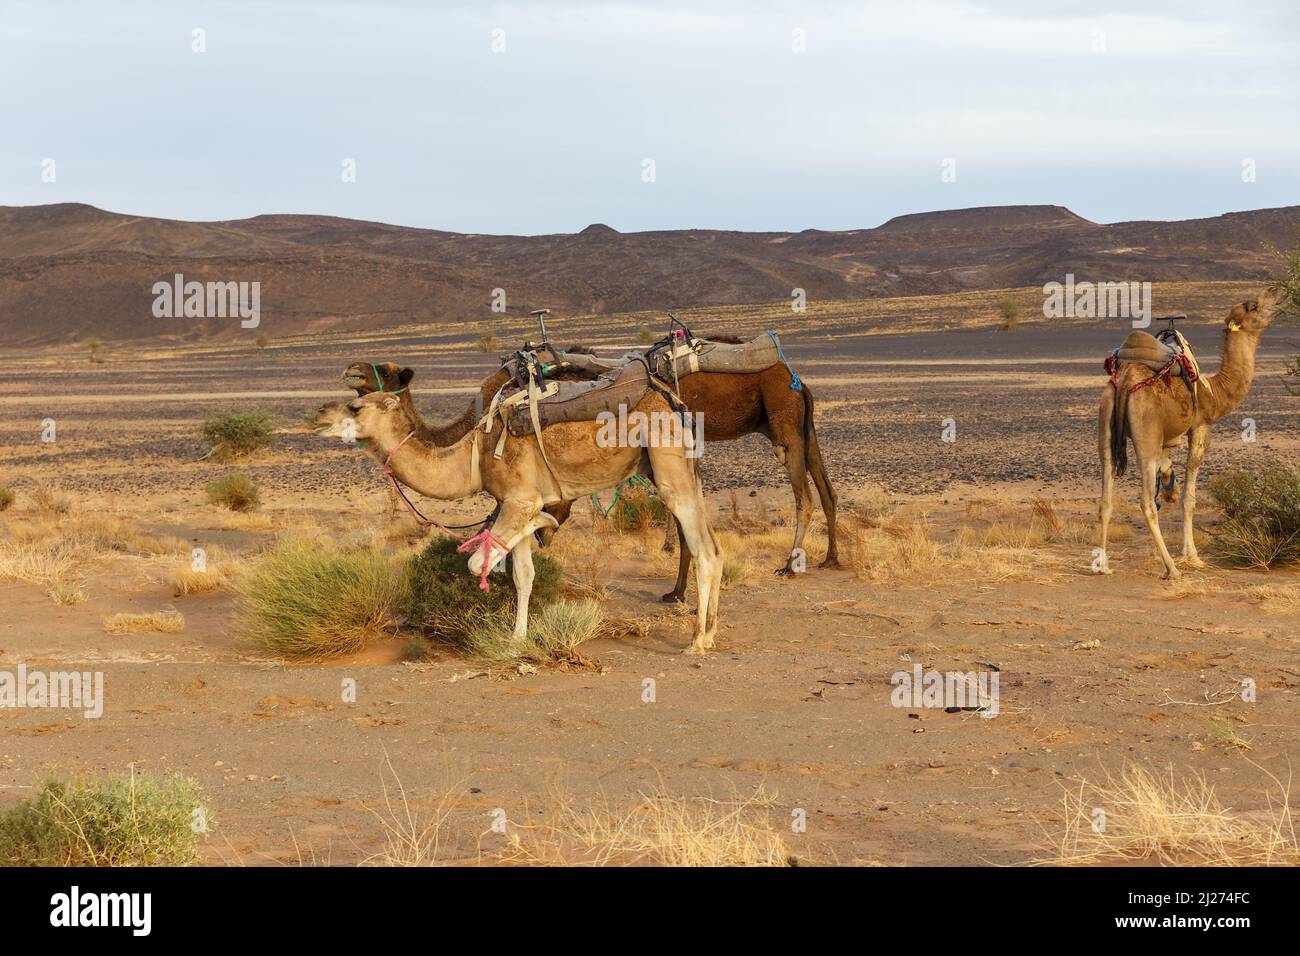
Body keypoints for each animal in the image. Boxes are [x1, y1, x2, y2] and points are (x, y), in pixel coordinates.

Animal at [314, 391, 724, 653]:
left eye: (355, 405)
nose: (317, 416)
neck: (472, 457)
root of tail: (679, 408)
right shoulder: (511, 502)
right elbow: (523, 575)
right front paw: (517, 639)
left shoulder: (518, 499)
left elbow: (476, 562)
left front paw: (547, 519)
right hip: (678, 469)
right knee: (716, 549)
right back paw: (711, 633)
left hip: (668, 464)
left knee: (703, 549)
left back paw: (695, 641)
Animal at [1098, 288, 1281, 579]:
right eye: (1253, 305)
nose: (1276, 291)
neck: (1214, 391)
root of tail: (1125, 381)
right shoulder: (1201, 427)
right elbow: (1189, 499)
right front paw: (1192, 555)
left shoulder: (1165, 441)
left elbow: (1168, 475)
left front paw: (1169, 487)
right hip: (1145, 434)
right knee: (1146, 502)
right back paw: (1171, 569)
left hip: (1106, 419)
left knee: (1105, 497)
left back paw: (1102, 565)